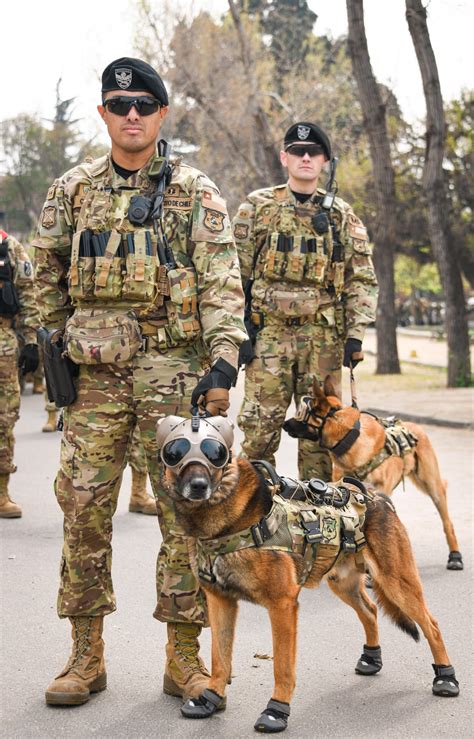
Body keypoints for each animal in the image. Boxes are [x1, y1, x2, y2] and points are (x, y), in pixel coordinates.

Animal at [32, 56, 246, 704]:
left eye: (143, 105)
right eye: (121, 100)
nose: (132, 114)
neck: (133, 172)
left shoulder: (209, 207)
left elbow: (219, 277)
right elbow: (50, 265)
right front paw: (81, 665)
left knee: (181, 546)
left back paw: (187, 670)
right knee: (83, 511)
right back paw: (83, 671)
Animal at [158, 416, 460, 736]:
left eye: (214, 454)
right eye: (175, 454)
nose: (198, 486)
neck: (230, 521)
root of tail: (375, 495)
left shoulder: (282, 605)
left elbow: (282, 667)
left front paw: (276, 710)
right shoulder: (221, 602)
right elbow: (220, 657)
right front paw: (211, 698)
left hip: (398, 583)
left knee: (431, 624)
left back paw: (446, 677)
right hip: (343, 584)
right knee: (371, 610)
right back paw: (371, 658)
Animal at [235, 121, 380, 480]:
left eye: (311, 152)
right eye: (299, 149)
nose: (304, 158)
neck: (302, 195)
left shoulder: (350, 220)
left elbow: (360, 276)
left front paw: (355, 344)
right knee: (261, 424)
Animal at [286, 376, 462, 572]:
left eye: (300, 413)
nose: (284, 424)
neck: (350, 440)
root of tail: (415, 426)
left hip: (432, 486)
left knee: (447, 520)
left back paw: (455, 556)